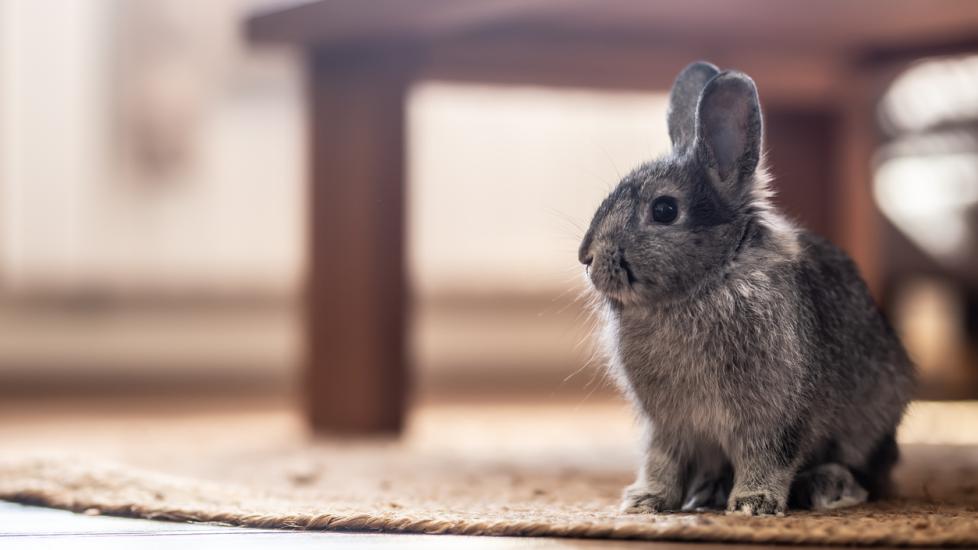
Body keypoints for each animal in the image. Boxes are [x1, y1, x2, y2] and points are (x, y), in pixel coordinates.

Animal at [578, 61, 915, 516]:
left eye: (664, 210)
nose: (587, 257)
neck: (710, 279)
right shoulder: (668, 425)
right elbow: (662, 461)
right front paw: (646, 501)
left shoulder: (775, 414)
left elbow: (767, 457)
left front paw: (753, 504)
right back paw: (708, 491)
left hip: (868, 424)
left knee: (866, 472)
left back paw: (828, 487)